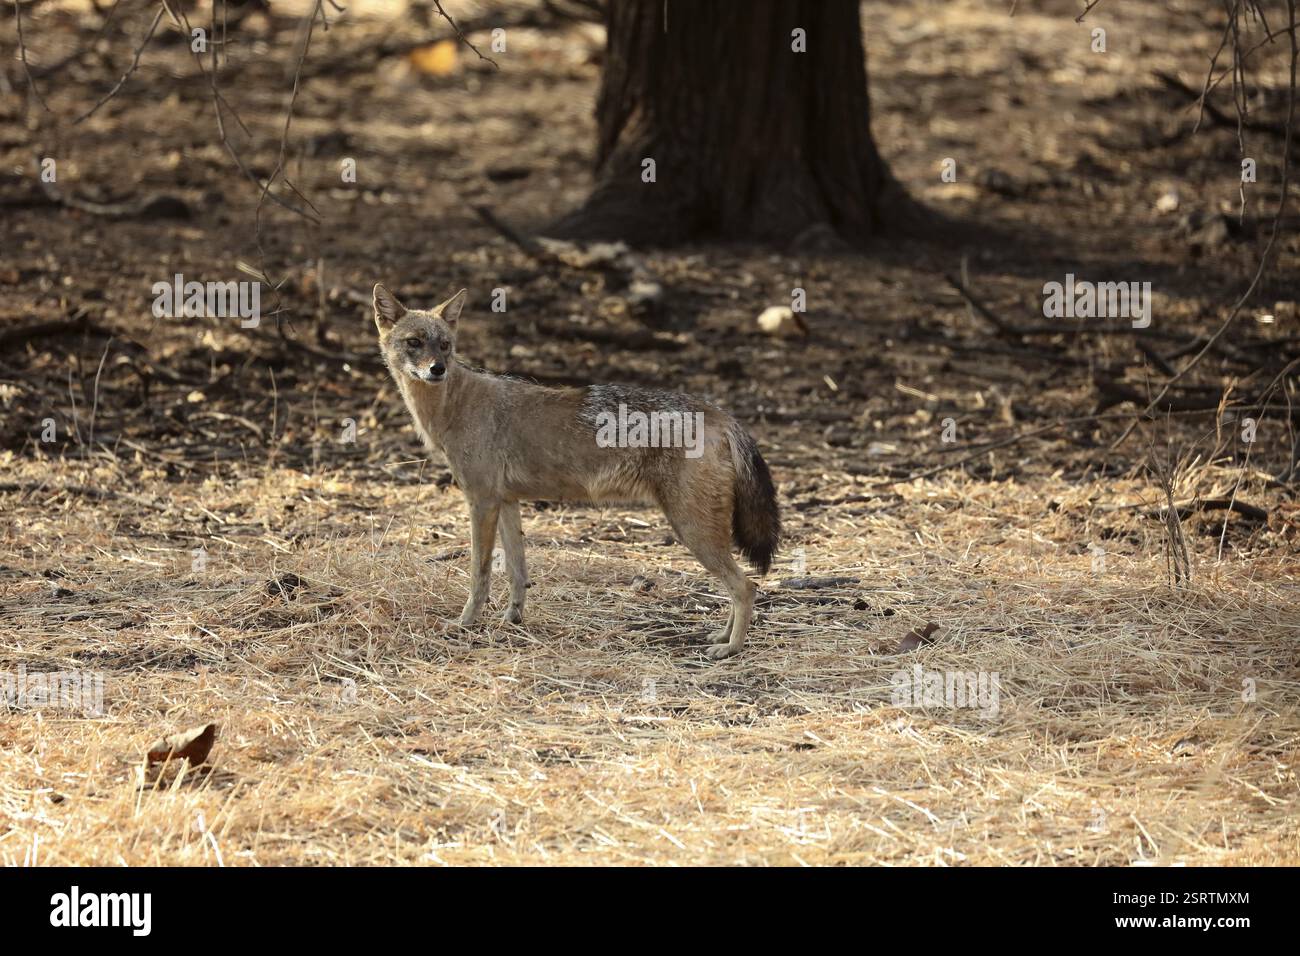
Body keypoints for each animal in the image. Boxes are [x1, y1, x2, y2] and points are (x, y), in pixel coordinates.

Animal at [372, 284, 780, 659]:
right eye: (414, 342)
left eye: (444, 345)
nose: (437, 369)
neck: (452, 406)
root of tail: (720, 413)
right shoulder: (506, 502)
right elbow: (517, 573)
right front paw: (511, 620)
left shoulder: (482, 501)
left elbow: (480, 574)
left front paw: (465, 623)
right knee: (741, 586)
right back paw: (720, 636)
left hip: (692, 530)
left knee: (746, 587)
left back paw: (731, 649)